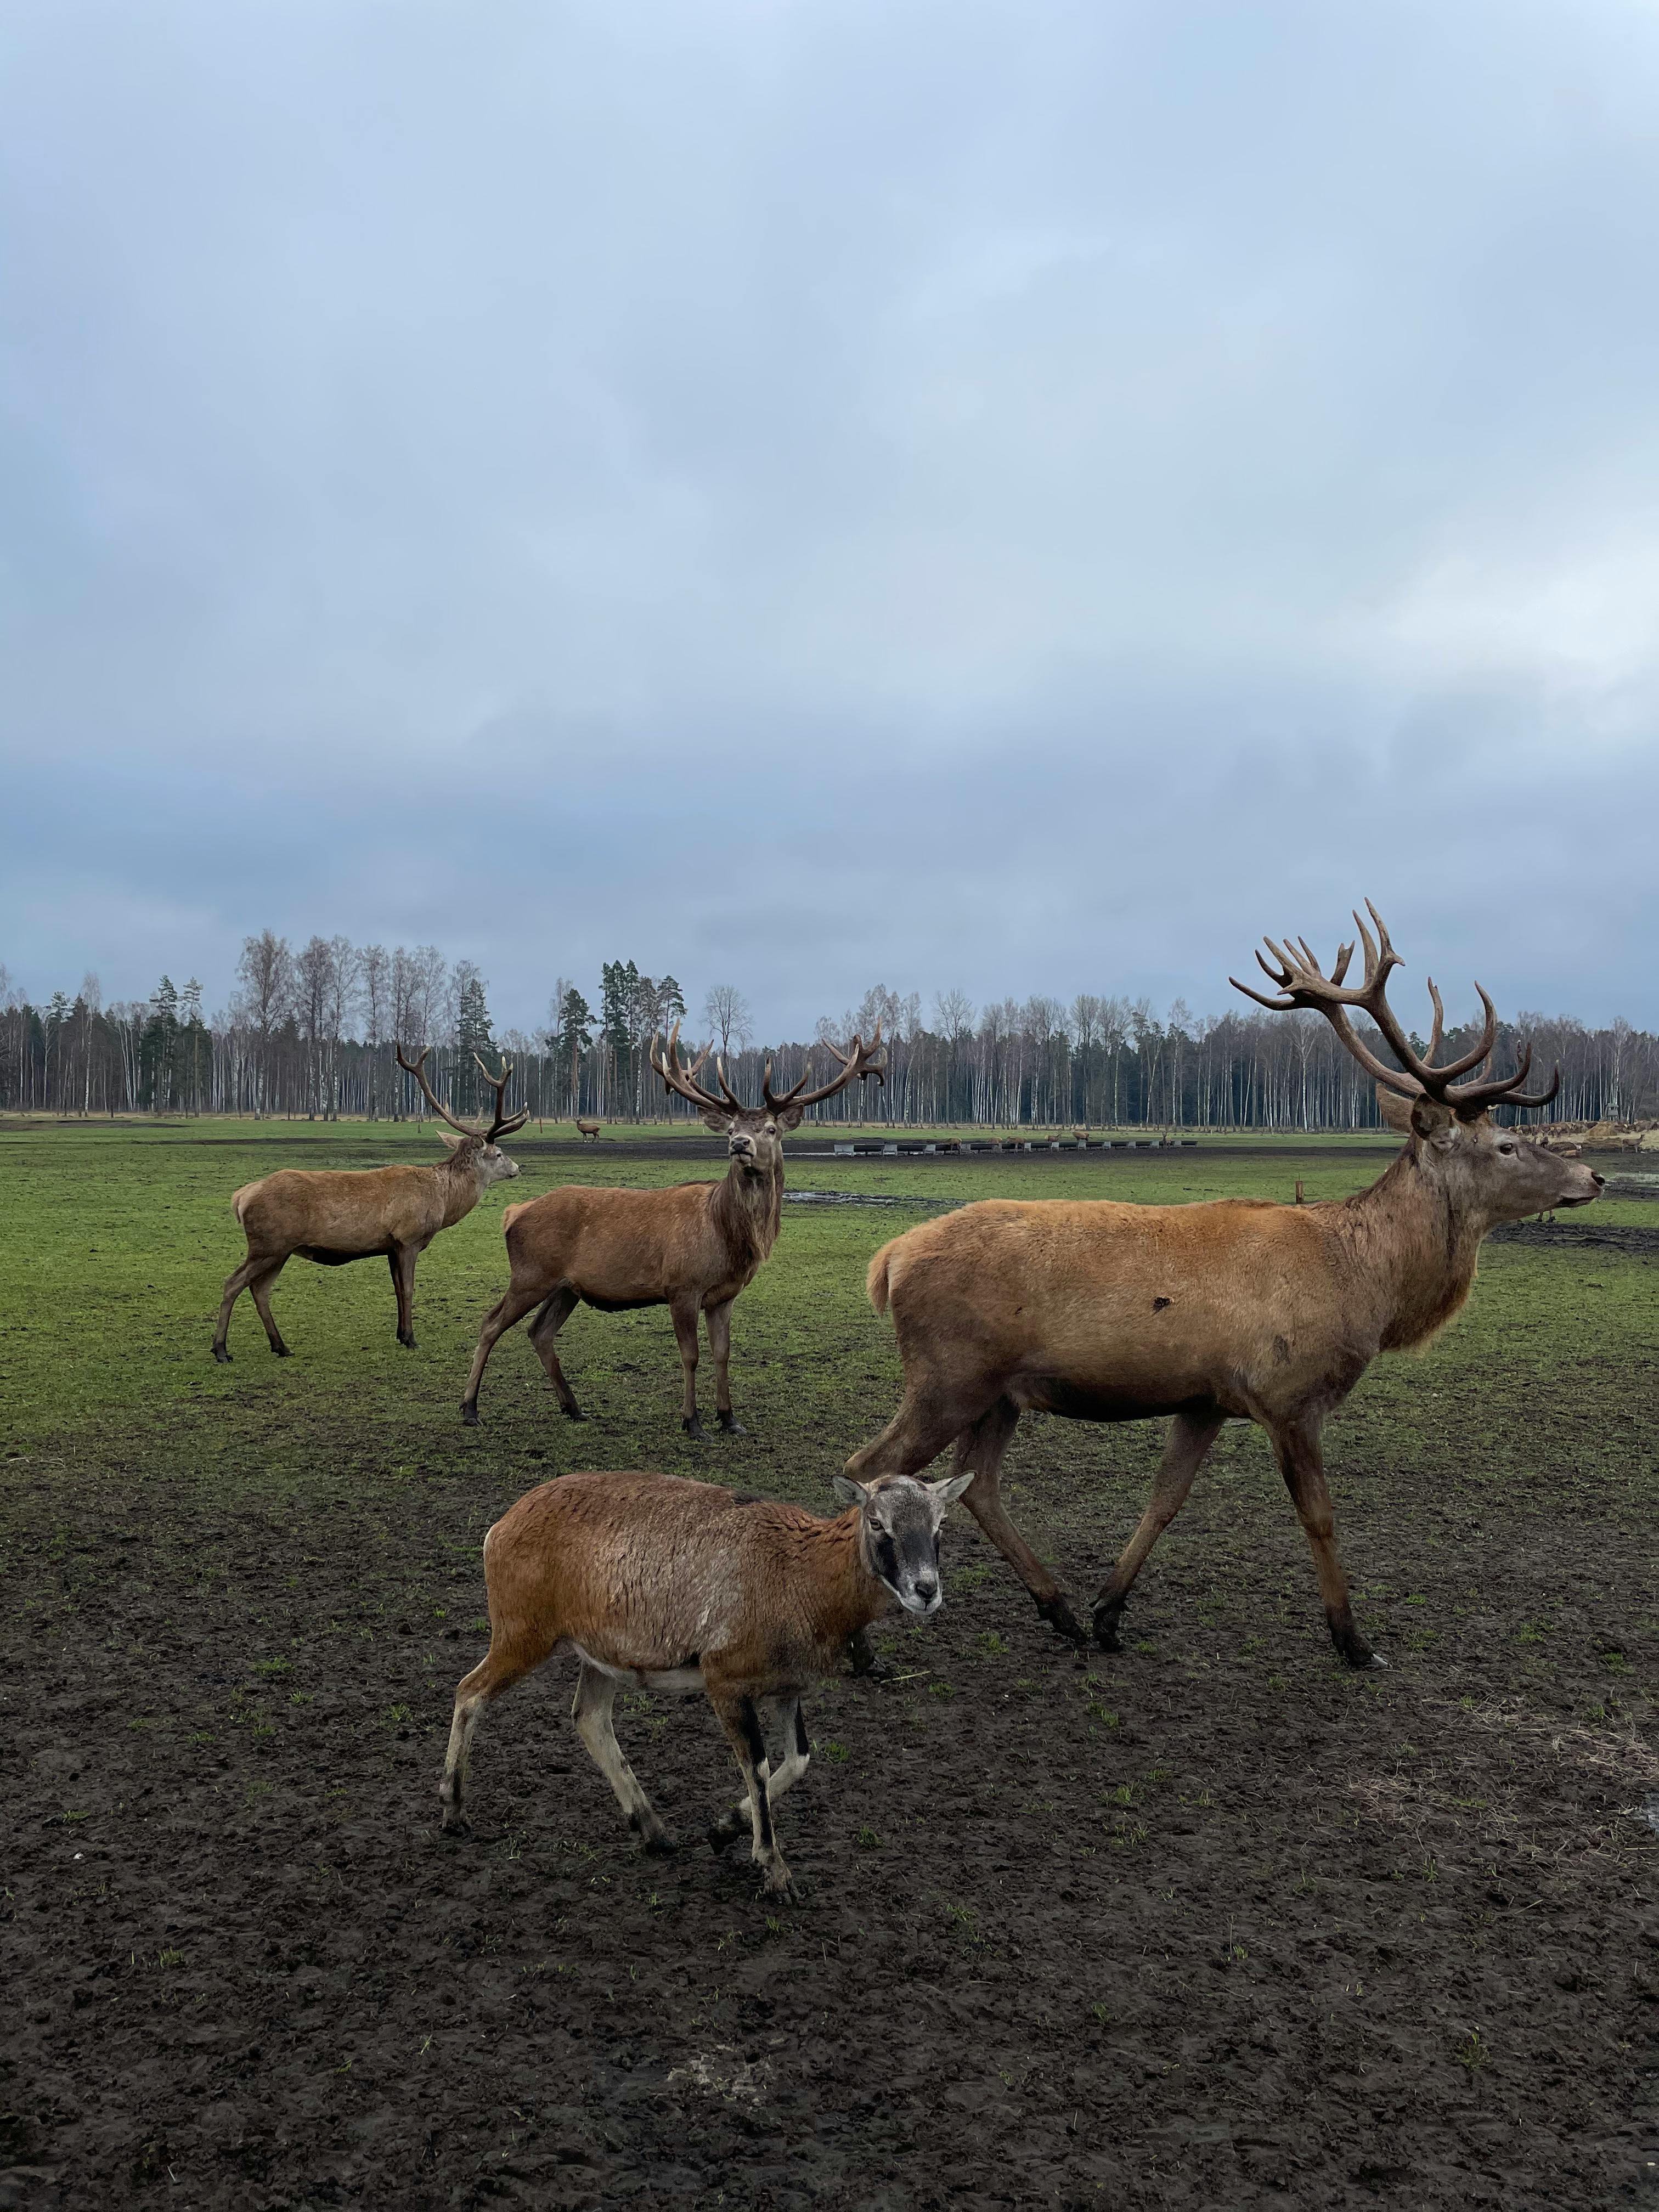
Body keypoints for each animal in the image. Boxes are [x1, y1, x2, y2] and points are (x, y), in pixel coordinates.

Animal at [211, 1048, 527, 1362]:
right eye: (499, 1153)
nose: (517, 1168)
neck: (442, 1200)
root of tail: (241, 1197)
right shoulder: (409, 1239)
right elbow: (409, 1289)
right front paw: (412, 1339)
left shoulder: (390, 1246)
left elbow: (397, 1290)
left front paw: (401, 1335)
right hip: (268, 1243)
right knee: (233, 1283)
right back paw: (221, 1350)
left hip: (280, 1249)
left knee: (260, 1289)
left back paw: (280, 1346)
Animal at [438, 1466, 973, 1899]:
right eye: (878, 1523)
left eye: (941, 1525)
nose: (926, 1591)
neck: (802, 1573)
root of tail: (501, 1526)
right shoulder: (727, 1683)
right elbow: (758, 1767)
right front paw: (774, 1871)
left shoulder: (787, 1688)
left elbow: (797, 1760)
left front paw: (723, 1829)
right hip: (522, 1632)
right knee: (470, 1692)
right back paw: (453, 1811)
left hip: (601, 1655)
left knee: (590, 1720)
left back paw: (653, 1831)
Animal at [459, 1021, 885, 1433]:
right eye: (731, 1129)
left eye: (770, 1129)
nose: (740, 1144)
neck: (729, 1236)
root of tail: (514, 1213)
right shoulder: (682, 1286)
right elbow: (691, 1355)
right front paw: (692, 1421)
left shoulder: (724, 1295)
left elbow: (722, 1354)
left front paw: (730, 1418)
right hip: (530, 1274)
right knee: (490, 1323)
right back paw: (470, 1408)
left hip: (566, 1287)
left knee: (540, 1332)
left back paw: (574, 1407)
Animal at [844, 906, 1603, 1670]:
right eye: (1505, 1145)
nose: (1593, 1175)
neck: (1367, 1285)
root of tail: (888, 1261)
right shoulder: (1288, 1394)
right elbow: (1320, 1517)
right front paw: (1353, 1641)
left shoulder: (1204, 1399)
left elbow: (1166, 1499)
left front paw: (1109, 1612)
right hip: (948, 1375)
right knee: (869, 1468)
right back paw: (860, 1640)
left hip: (1001, 1391)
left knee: (977, 1482)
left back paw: (1058, 1609)